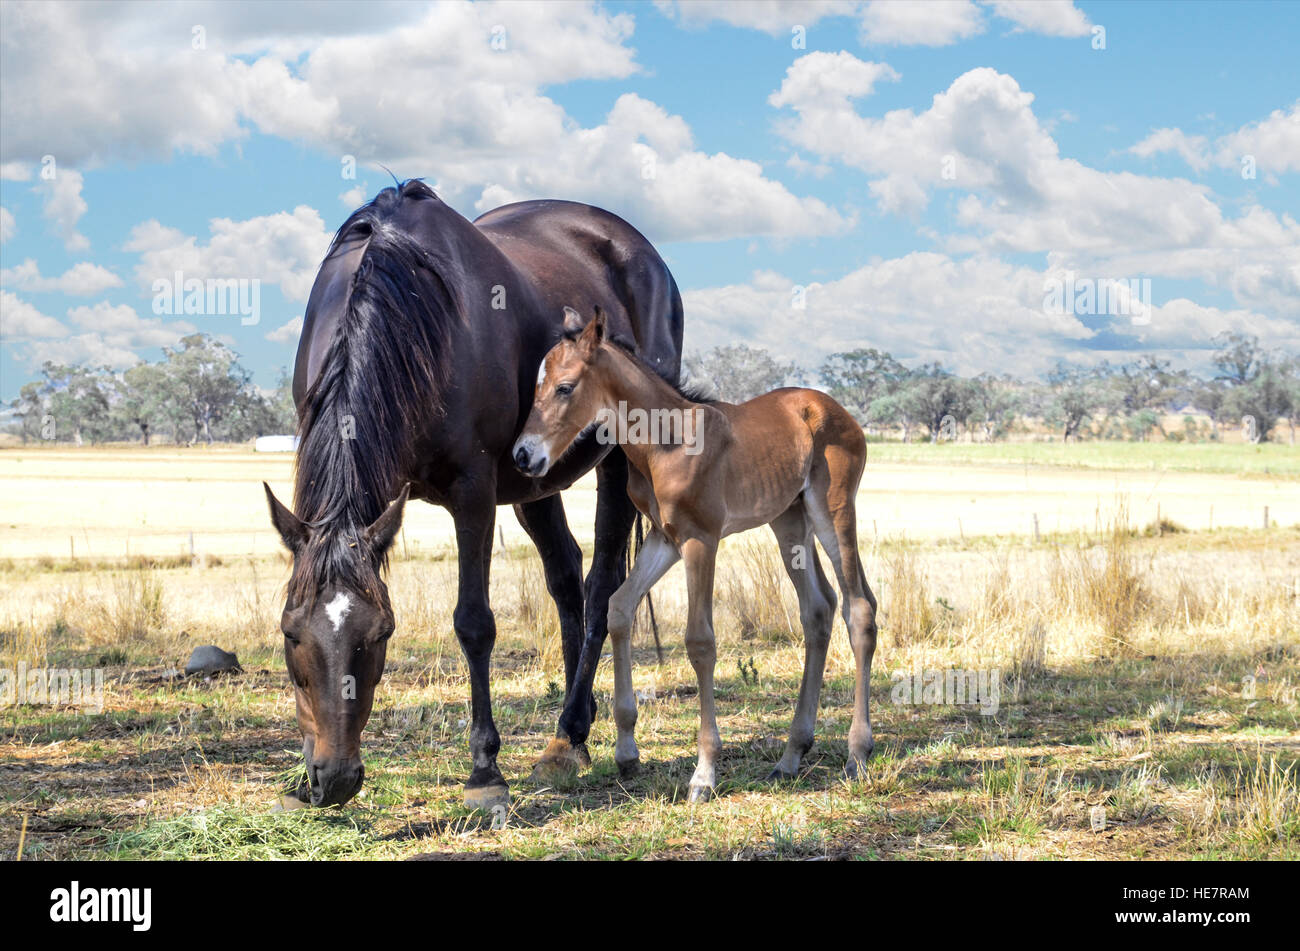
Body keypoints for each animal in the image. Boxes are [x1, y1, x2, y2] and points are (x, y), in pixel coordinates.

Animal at [262, 181, 683, 808]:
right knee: (566, 579)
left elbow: (474, 623)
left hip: (617, 460)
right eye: (291, 633)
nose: (333, 778)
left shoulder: (474, 492)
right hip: (535, 478)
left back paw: (568, 734)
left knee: (601, 585)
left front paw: (485, 771)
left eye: (382, 633)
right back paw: (573, 734)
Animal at [512, 306, 878, 801]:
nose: (523, 455)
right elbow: (618, 608)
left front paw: (704, 772)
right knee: (818, 609)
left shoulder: (701, 539)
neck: (666, 442)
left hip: (832, 511)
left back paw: (857, 754)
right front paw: (626, 752)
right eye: (536, 384)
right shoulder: (663, 538)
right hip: (789, 521)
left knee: (859, 608)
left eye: (565, 387)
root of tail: (838, 411)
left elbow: (699, 641)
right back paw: (790, 756)